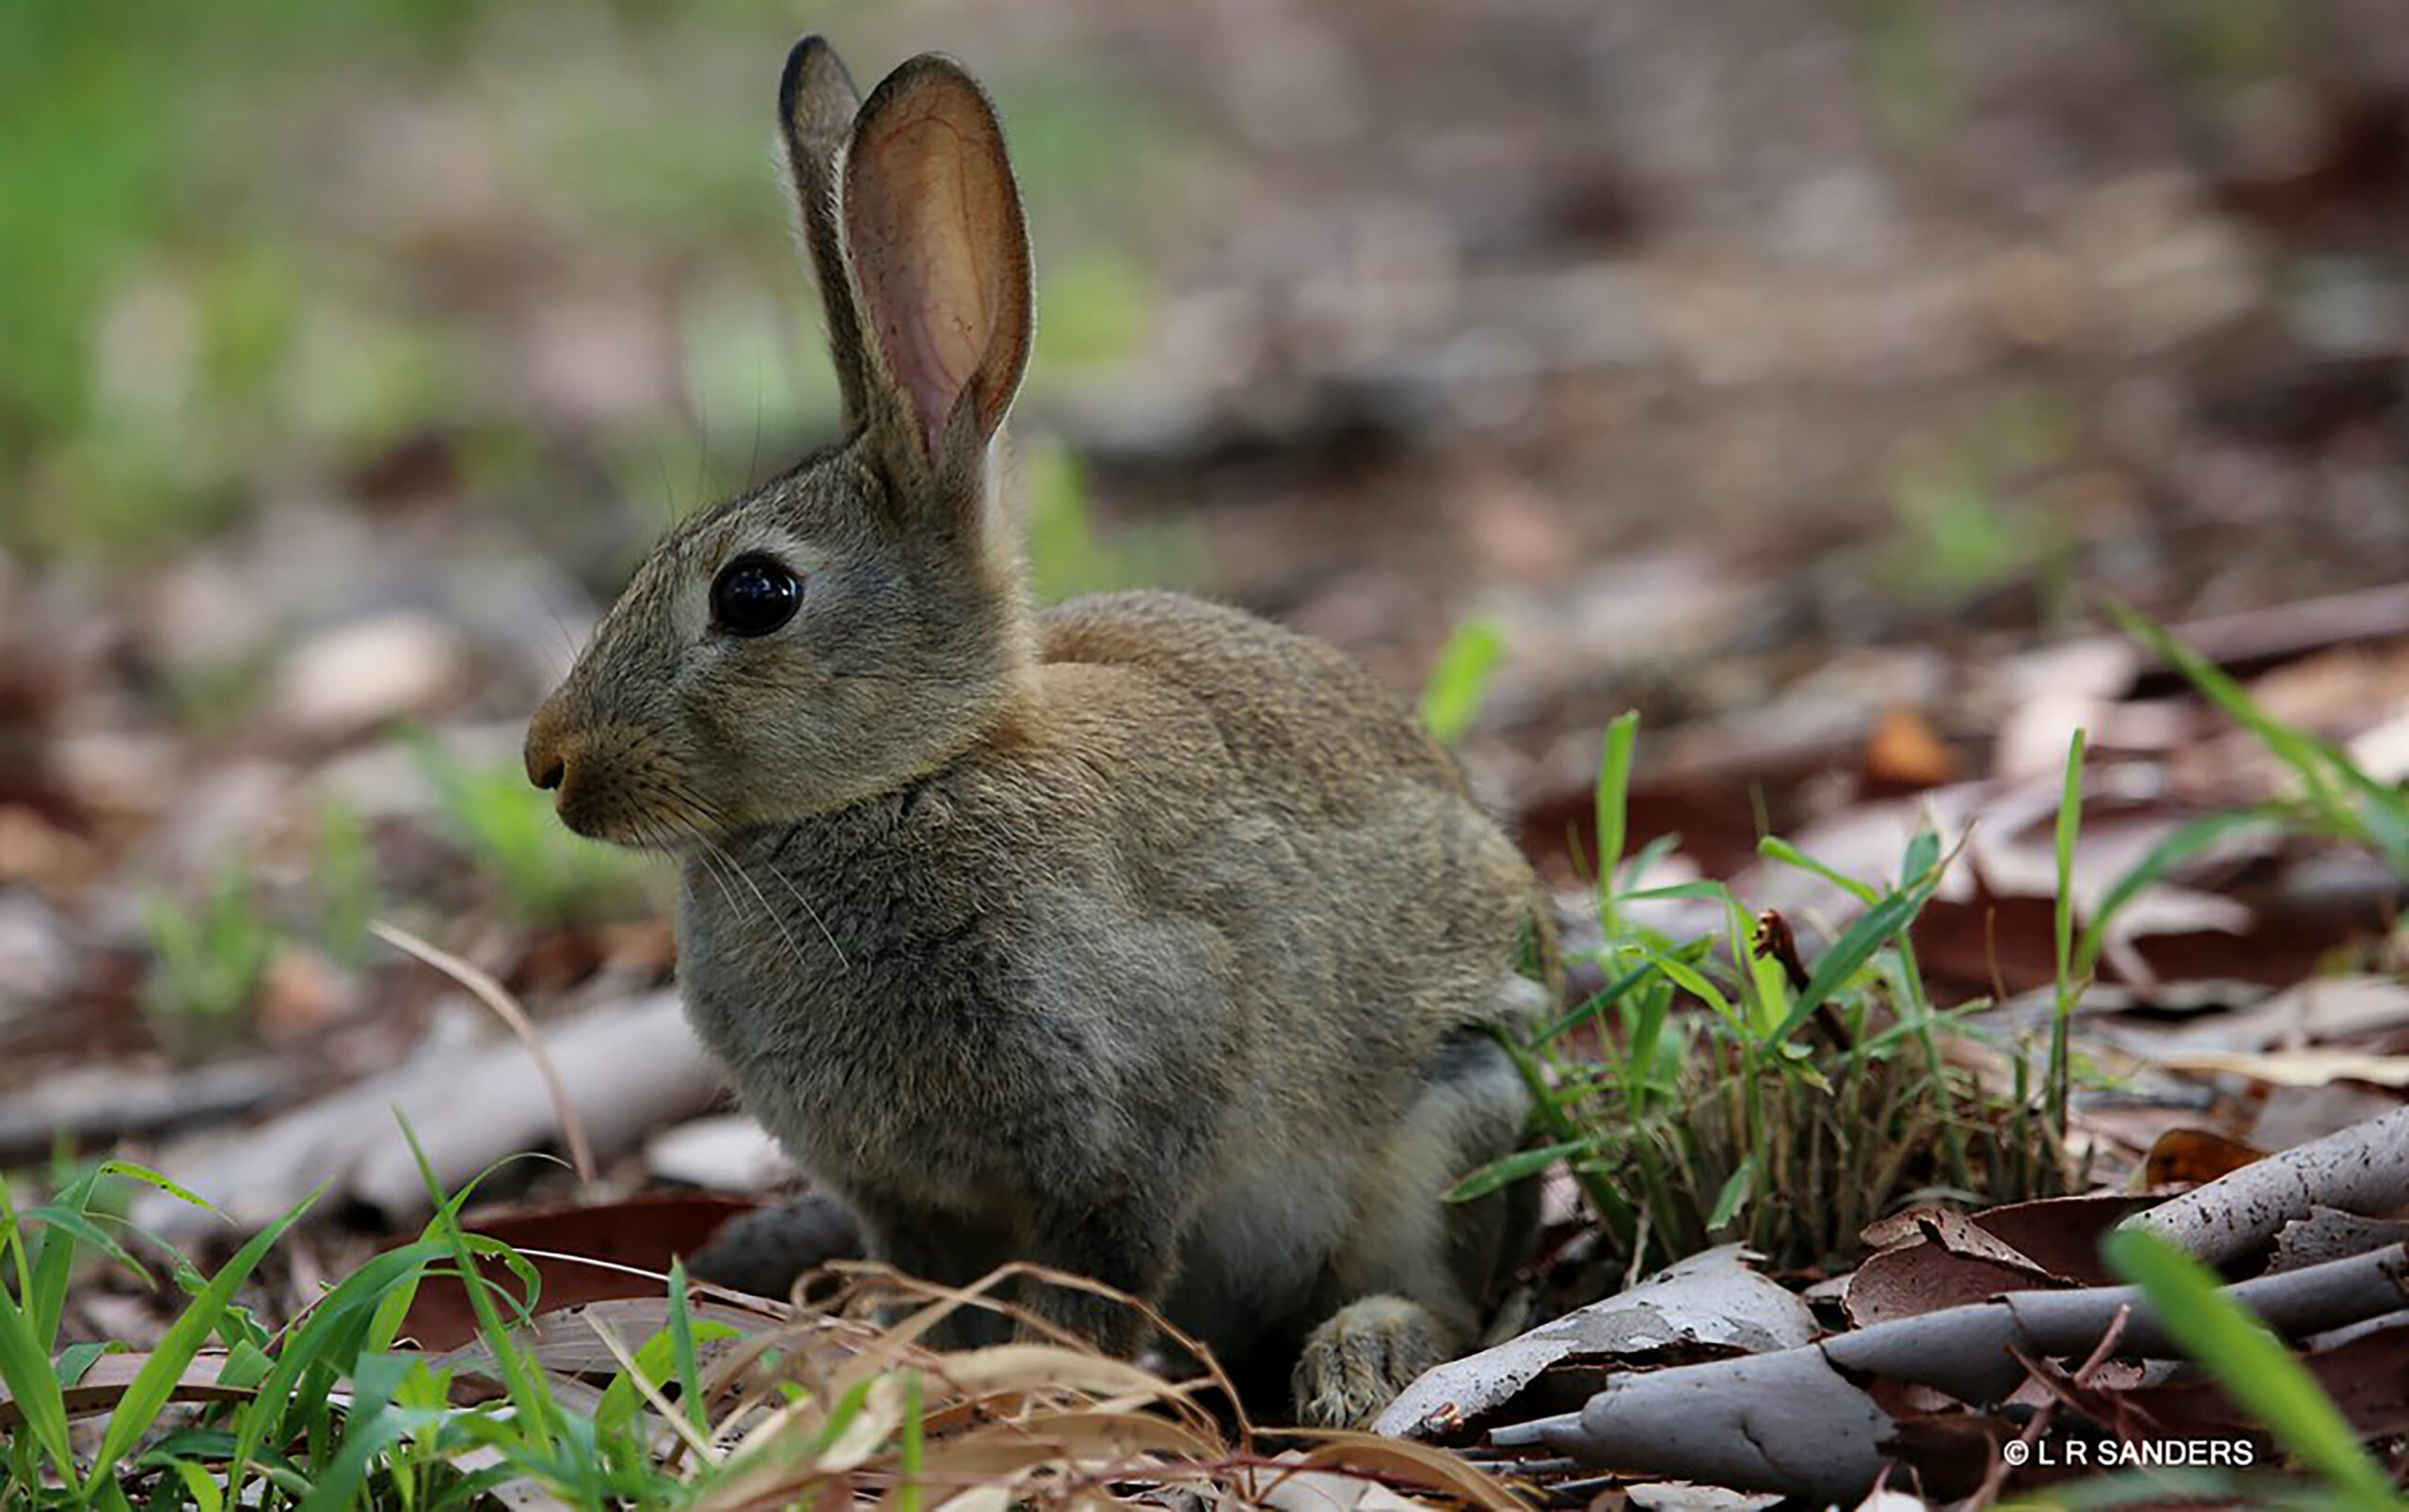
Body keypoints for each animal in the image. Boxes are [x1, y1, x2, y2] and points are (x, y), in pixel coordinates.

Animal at [522, 34, 1555, 1428]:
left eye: (756, 594)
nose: (547, 760)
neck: (908, 778)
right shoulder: (905, 1193)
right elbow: (934, 1282)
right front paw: (904, 1363)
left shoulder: (1123, 1124)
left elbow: (1097, 1279)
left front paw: (1040, 1389)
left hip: (1452, 1111)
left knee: (1444, 1290)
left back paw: (1359, 1356)